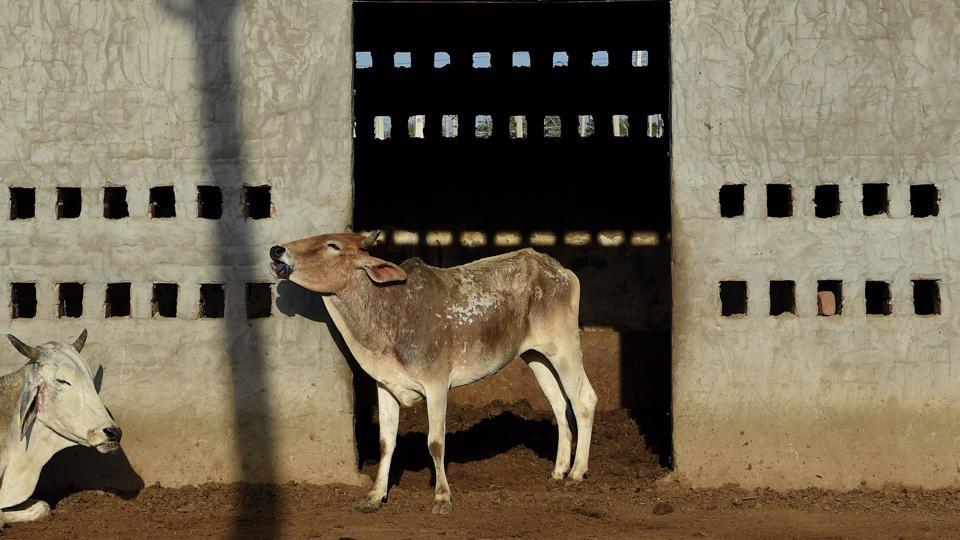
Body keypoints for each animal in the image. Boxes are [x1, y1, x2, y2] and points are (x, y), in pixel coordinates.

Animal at [270, 230, 597, 514]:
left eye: (333, 246)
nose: (276, 250)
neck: (390, 309)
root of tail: (558, 269)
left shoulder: (437, 383)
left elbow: (436, 443)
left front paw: (442, 498)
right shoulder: (385, 385)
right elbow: (386, 442)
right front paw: (375, 496)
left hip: (565, 347)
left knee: (583, 401)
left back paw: (577, 472)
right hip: (536, 355)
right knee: (559, 405)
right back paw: (558, 470)